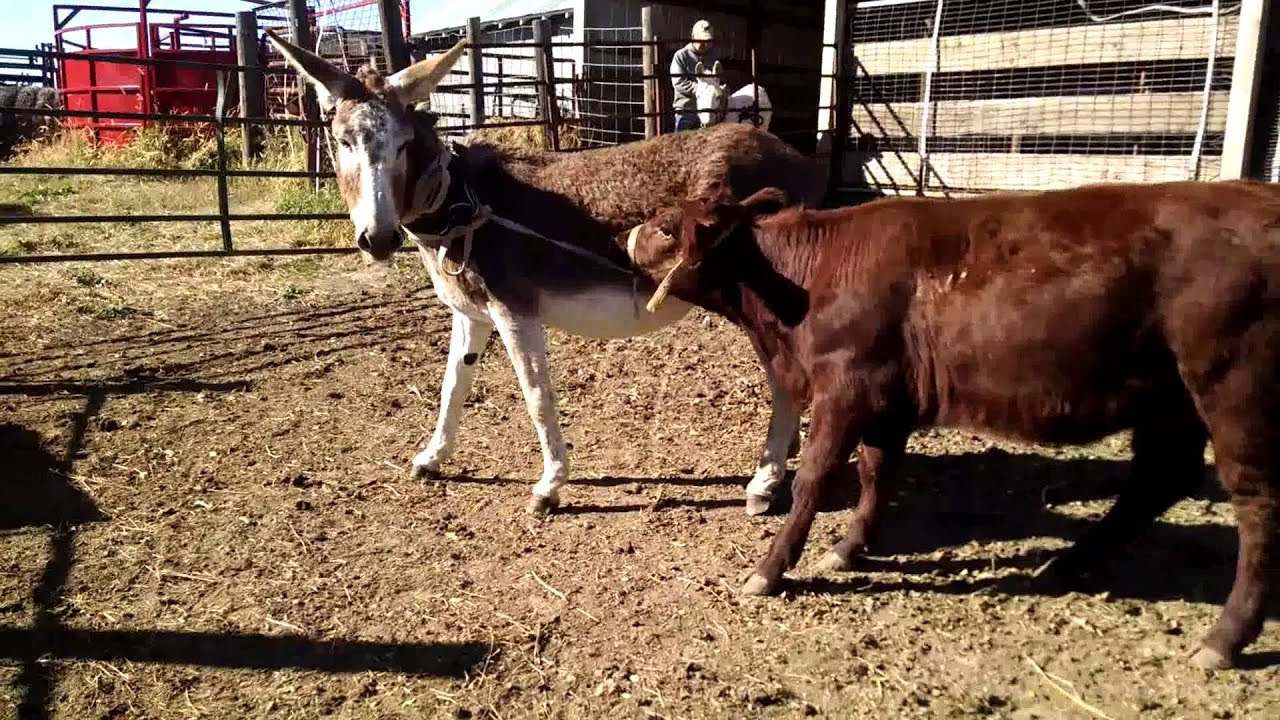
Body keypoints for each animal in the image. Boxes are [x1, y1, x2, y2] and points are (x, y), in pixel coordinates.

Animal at [263, 32, 827, 517]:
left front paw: (550, 486)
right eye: (342, 142)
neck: (459, 203)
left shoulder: (515, 311)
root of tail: (798, 160)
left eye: (403, 144)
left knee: (785, 382)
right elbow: (452, 388)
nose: (378, 240)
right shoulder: (471, 316)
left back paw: (764, 484)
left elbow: (537, 396)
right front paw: (431, 459)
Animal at [627, 179, 1280, 670]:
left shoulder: (845, 389)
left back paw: (1224, 639)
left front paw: (769, 570)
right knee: (1158, 480)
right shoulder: (887, 400)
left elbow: (814, 479)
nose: (625, 236)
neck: (801, 290)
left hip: (1234, 394)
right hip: (1168, 401)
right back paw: (1063, 566)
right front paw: (850, 549)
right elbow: (877, 473)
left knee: (1257, 507)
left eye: (666, 226)